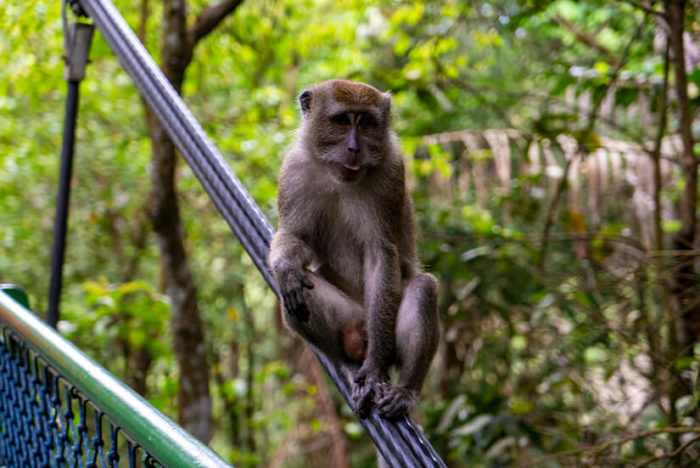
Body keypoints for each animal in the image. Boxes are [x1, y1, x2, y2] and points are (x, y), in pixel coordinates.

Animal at [268, 79, 439, 420]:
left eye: (365, 123)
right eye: (342, 121)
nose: (354, 148)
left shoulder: (390, 172)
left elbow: (380, 255)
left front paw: (374, 369)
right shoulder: (293, 171)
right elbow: (294, 237)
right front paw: (284, 266)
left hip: (380, 329)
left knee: (424, 289)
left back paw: (404, 390)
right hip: (351, 317)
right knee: (294, 298)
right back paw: (346, 364)